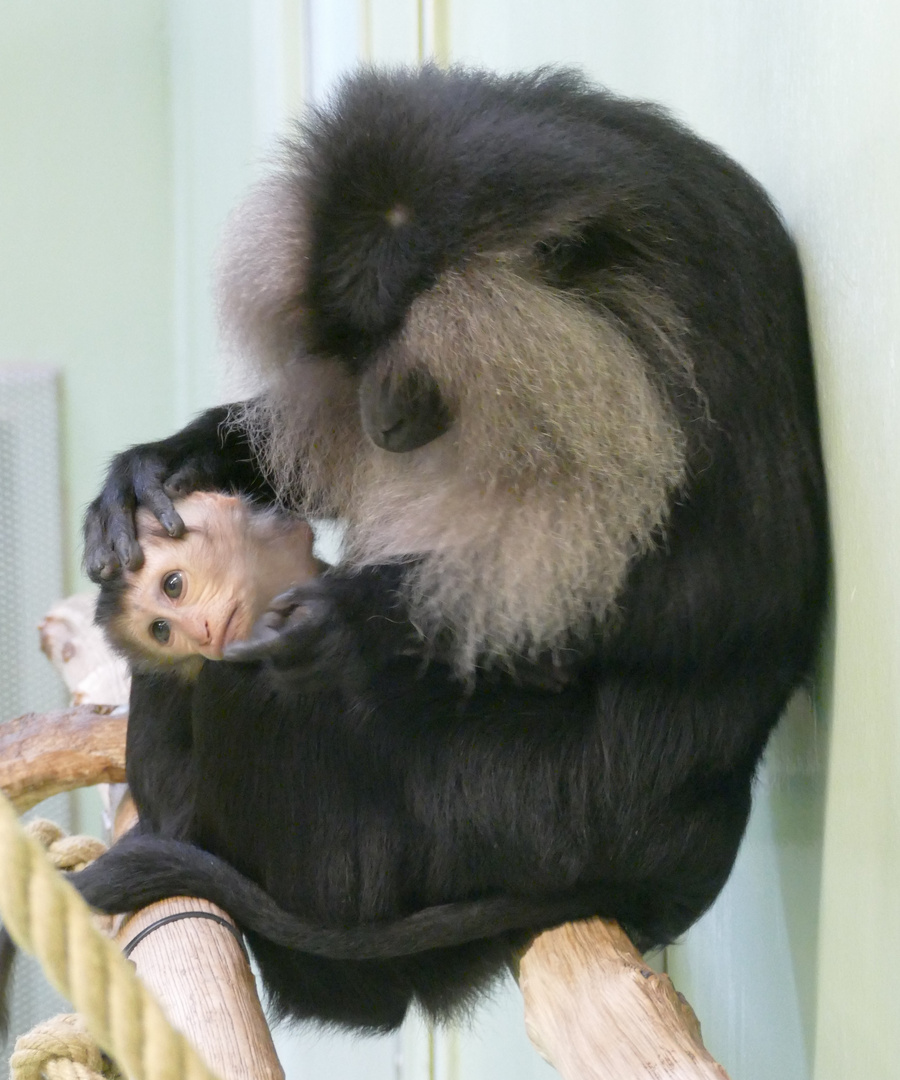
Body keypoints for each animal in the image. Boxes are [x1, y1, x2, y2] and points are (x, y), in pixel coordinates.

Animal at [65, 65, 827, 1033]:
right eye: (353, 360)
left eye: (411, 369)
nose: (379, 420)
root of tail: (692, 836)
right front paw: (156, 469)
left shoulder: (696, 350)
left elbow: (713, 602)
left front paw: (352, 625)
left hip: (515, 818)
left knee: (258, 690)